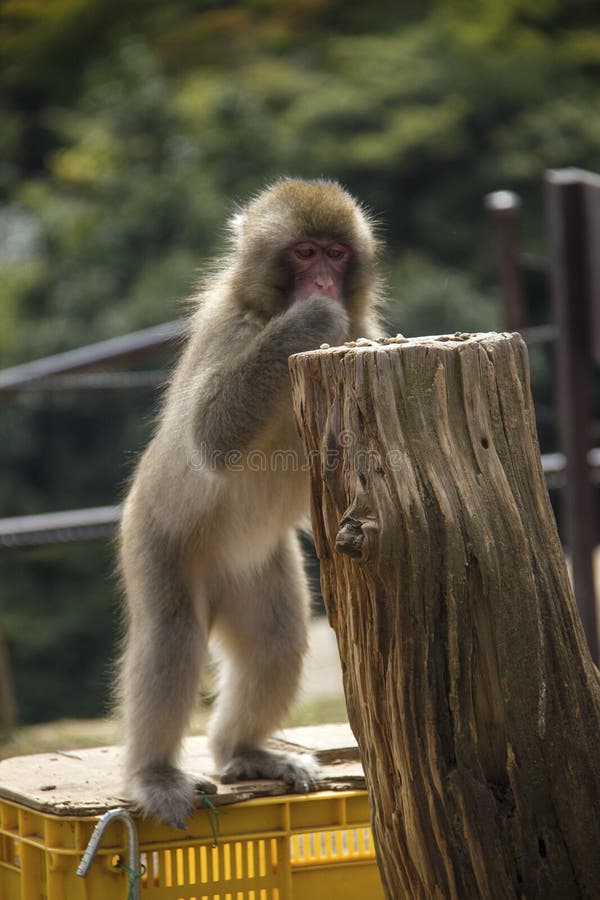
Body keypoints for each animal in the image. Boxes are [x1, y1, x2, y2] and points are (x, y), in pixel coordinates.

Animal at [118, 177, 382, 827]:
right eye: (304, 253)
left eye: (336, 254)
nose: (322, 283)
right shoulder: (230, 327)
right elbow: (210, 432)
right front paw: (309, 318)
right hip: (153, 536)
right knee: (171, 636)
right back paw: (153, 772)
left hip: (256, 572)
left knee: (274, 640)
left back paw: (243, 752)